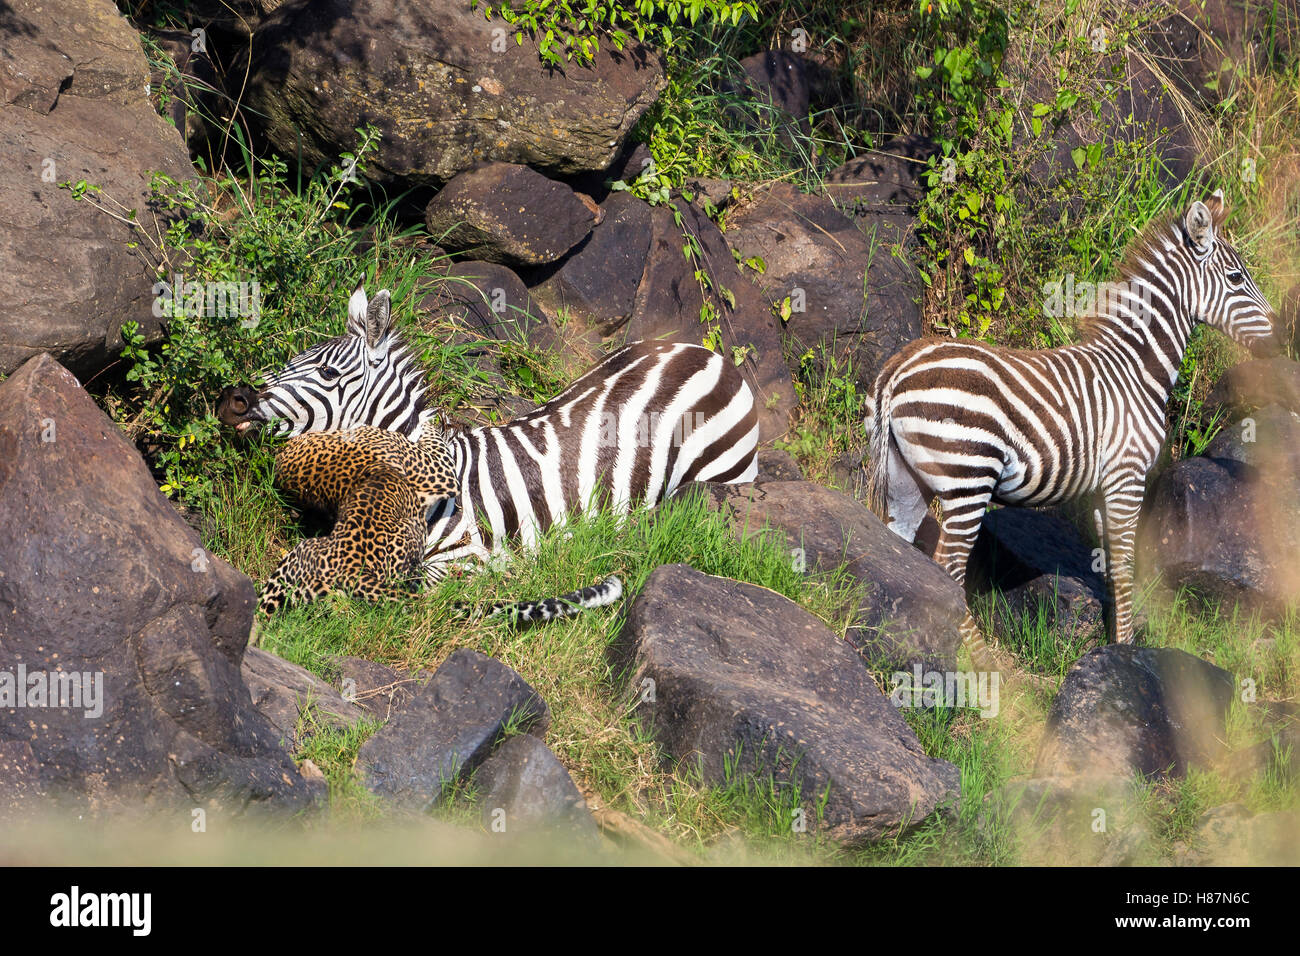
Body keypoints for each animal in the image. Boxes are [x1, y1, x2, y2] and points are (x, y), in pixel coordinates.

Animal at [864, 191, 1279, 669]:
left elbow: (1110, 566)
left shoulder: (1102, 488)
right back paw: (983, 661)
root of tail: (898, 368)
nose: (1283, 337)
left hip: (905, 476)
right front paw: (1127, 648)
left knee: (901, 548)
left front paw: (1116, 640)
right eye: (1236, 278)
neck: (1136, 371)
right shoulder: (1127, 477)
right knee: (948, 564)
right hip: (968, 476)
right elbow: (1126, 565)